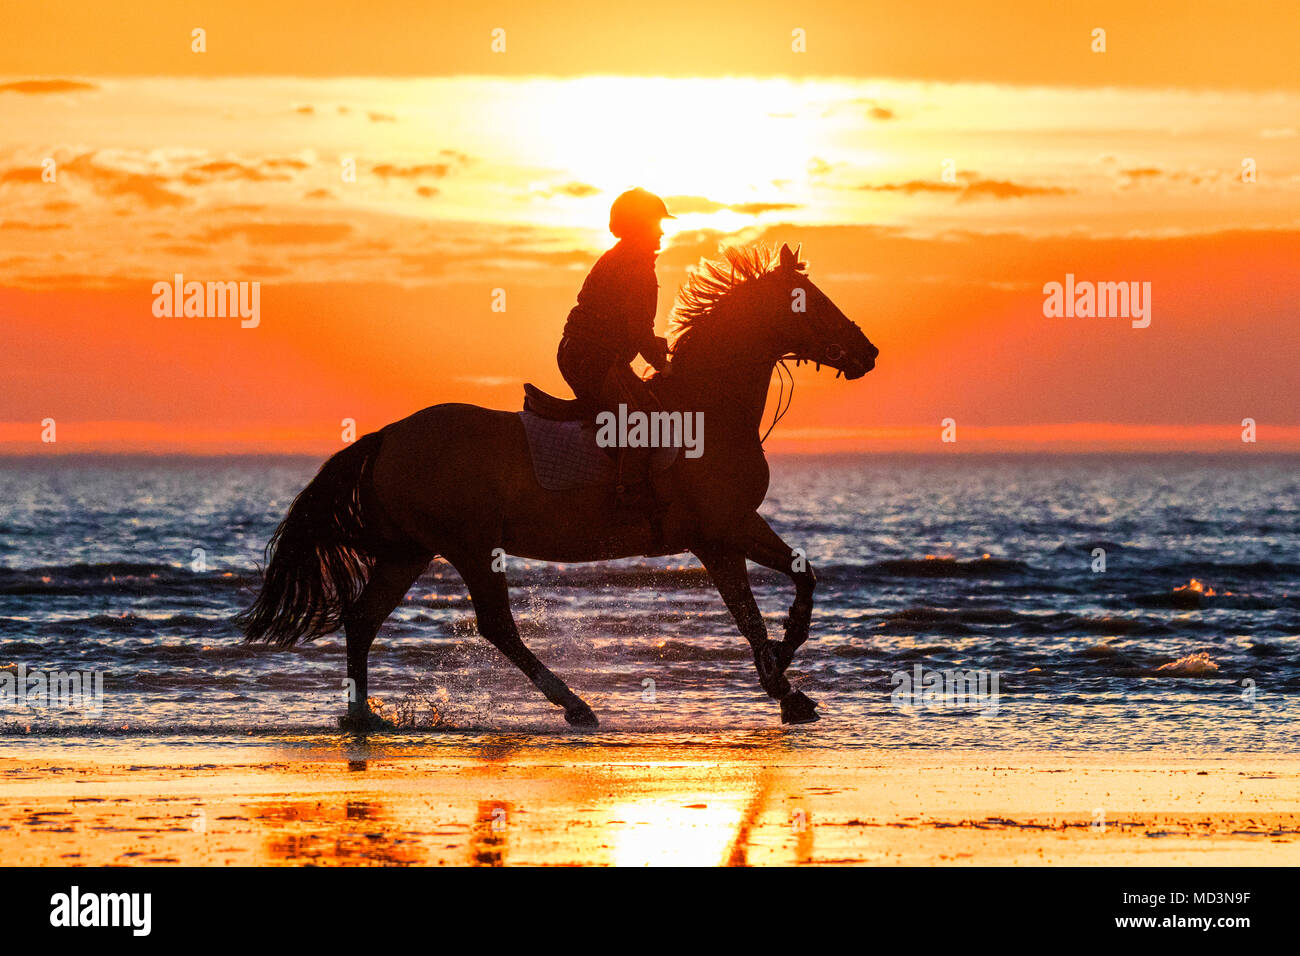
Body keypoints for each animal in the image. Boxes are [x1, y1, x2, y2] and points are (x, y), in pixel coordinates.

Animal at [236, 242, 879, 730]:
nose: (867, 353)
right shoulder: (724, 530)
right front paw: (785, 676)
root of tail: (389, 435)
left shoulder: (723, 538)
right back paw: (575, 706)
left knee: (363, 619)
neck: (709, 407)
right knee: (495, 626)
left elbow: (781, 591)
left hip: (409, 551)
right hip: (470, 547)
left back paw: (363, 716)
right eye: (811, 302)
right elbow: (775, 599)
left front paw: (786, 684)